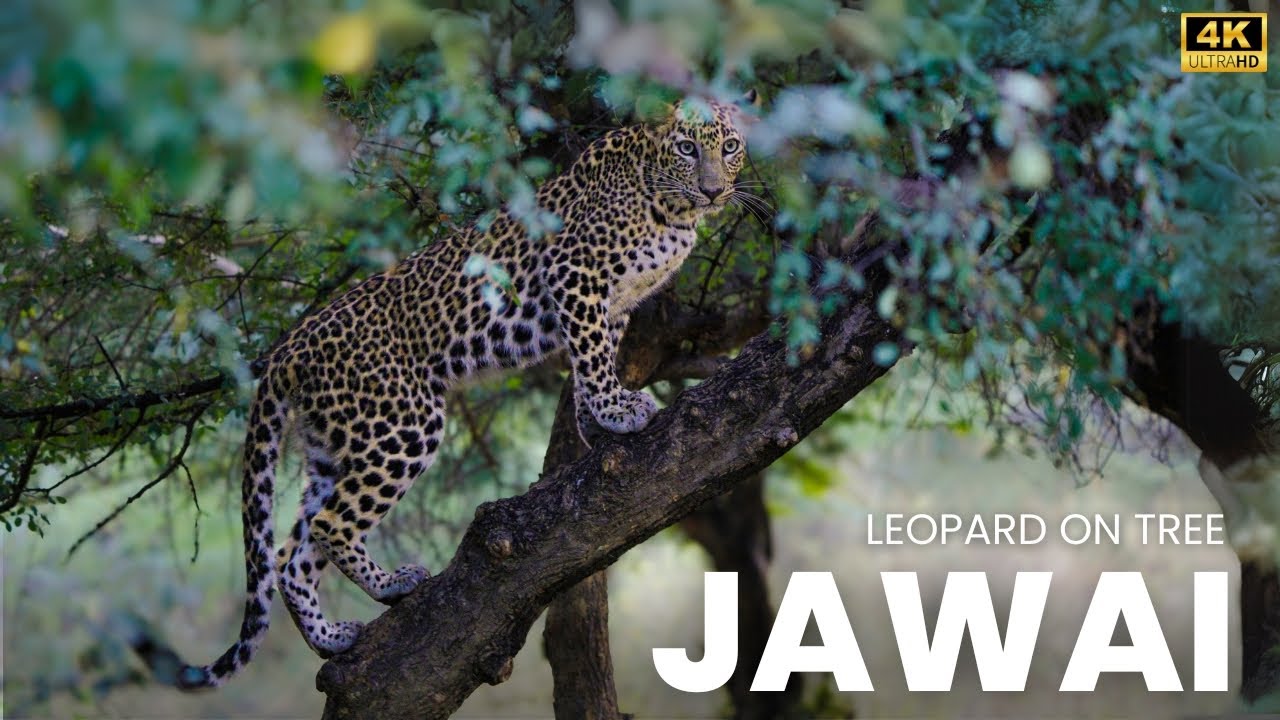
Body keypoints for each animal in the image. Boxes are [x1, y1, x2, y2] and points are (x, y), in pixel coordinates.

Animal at [155, 93, 759, 689]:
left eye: (729, 147)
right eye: (687, 148)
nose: (713, 190)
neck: (672, 208)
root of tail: (290, 345)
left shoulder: (614, 303)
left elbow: (597, 355)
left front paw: (596, 419)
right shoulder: (573, 272)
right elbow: (589, 354)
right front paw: (615, 410)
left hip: (333, 446)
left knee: (289, 556)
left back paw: (330, 637)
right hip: (402, 425)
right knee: (330, 524)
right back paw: (392, 585)